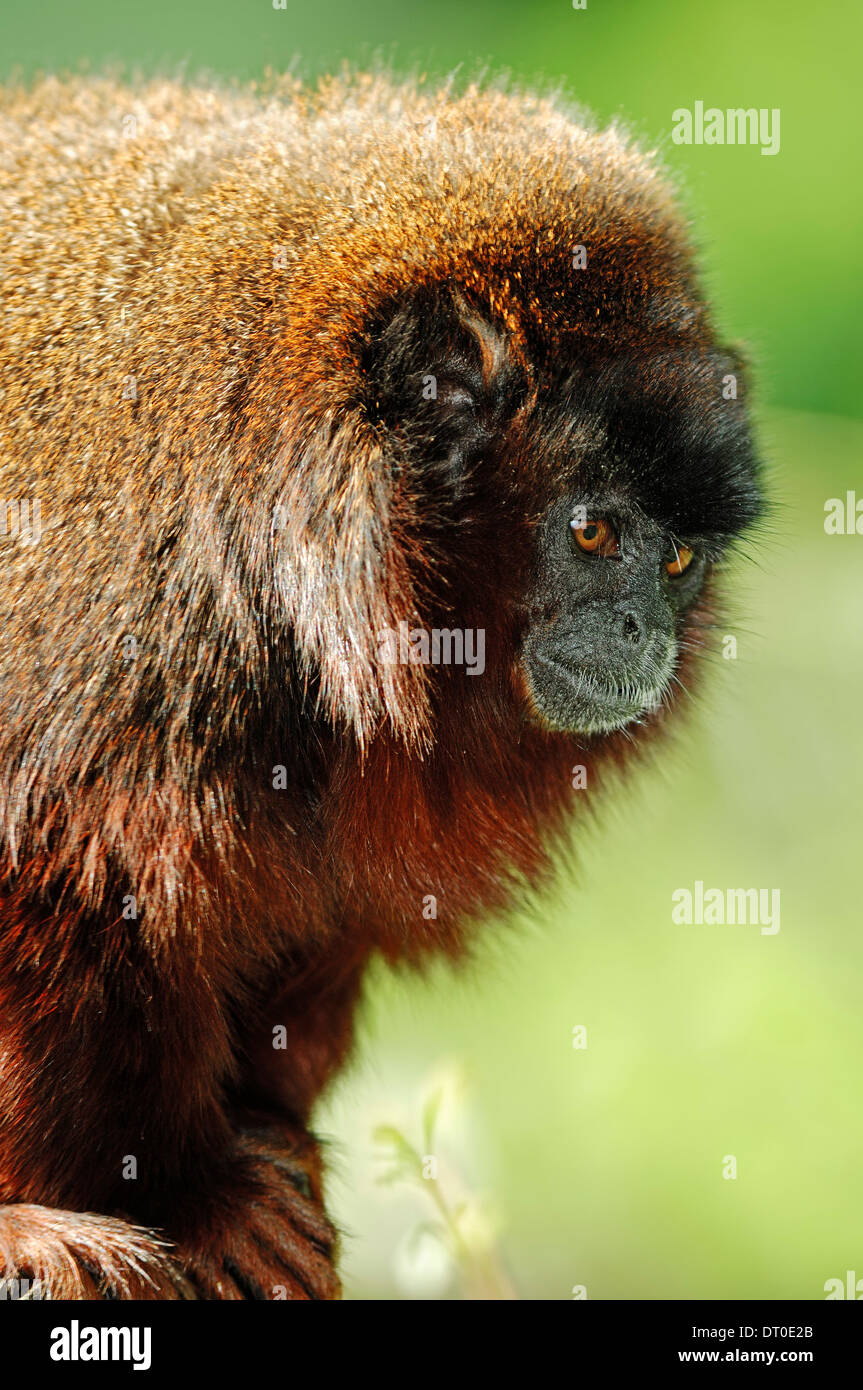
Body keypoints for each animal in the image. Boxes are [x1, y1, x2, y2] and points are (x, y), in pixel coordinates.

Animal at [0, 70, 763, 1300]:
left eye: (679, 558)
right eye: (593, 531)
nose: (641, 629)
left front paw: (262, 1148)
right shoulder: (132, 636)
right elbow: (57, 874)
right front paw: (182, 1194)